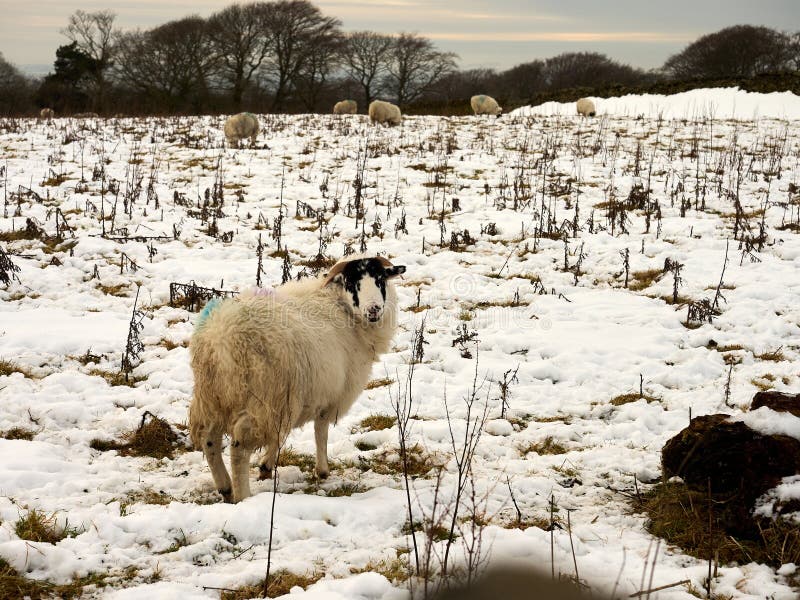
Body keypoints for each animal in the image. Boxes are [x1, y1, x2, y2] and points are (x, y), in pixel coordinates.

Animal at [189, 255, 407, 503]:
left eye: (380, 279)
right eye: (353, 283)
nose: (374, 309)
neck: (340, 306)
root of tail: (220, 338)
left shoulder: (291, 399)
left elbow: (280, 435)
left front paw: (266, 466)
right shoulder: (327, 396)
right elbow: (321, 433)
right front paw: (322, 471)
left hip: (212, 396)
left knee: (209, 440)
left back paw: (225, 487)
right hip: (261, 395)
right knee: (239, 450)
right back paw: (243, 495)